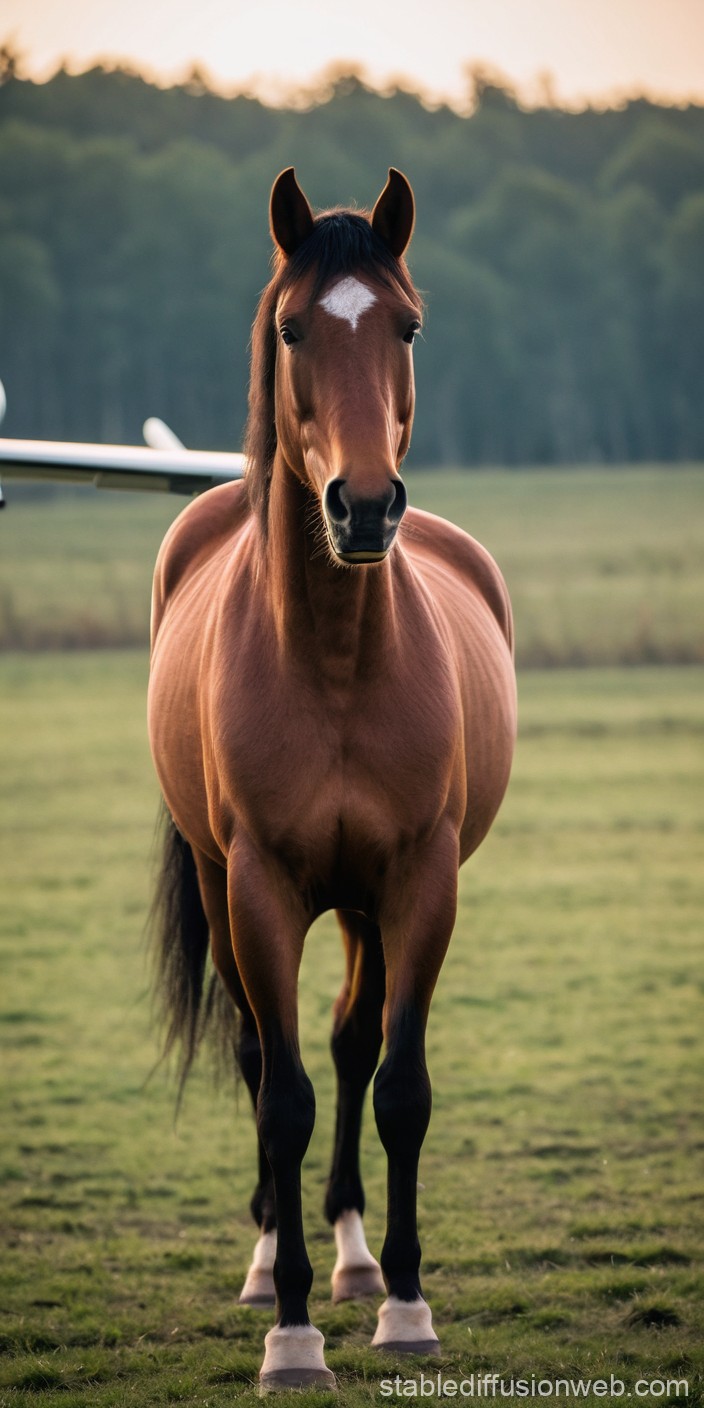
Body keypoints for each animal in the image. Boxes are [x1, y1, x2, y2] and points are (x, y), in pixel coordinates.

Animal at [147, 167, 516, 1390]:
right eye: (292, 329)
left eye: (405, 326)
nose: (362, 506)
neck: (339, 661)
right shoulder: (260, 889)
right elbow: (285, 1097)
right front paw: (292, 1335)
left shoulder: (418, 884)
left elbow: (396, 1086)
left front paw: (403, 1304)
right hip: (224, 887)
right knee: (265, 1057)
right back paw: (276, 1266)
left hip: (362, 901)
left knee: (355, 1044)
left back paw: (354, 1259)